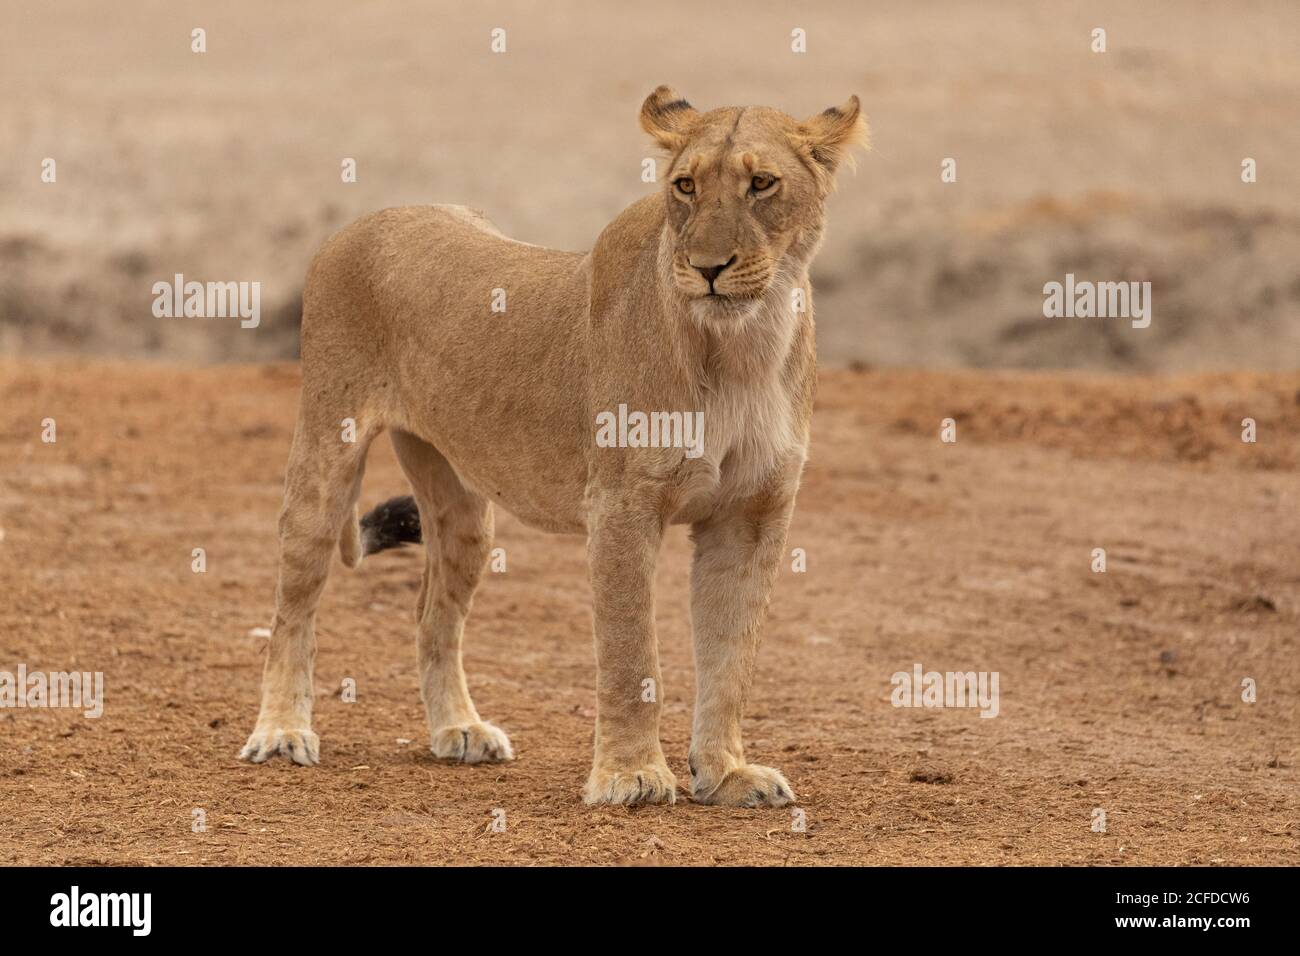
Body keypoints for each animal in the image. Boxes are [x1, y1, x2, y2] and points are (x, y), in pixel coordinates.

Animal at [238, 86, 868, 807]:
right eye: (685, 186)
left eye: (761, 183)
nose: (708, 269)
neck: (745, 346)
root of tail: (360, 223)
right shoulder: (622, 505)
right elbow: (632, 655)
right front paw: (630, 776)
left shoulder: (752, 514)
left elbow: (731, 658)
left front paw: (727, 772)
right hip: (325, 453)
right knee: (293, 608)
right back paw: (282, 733)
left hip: (463, 511)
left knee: (432, 614)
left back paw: (459, 730)